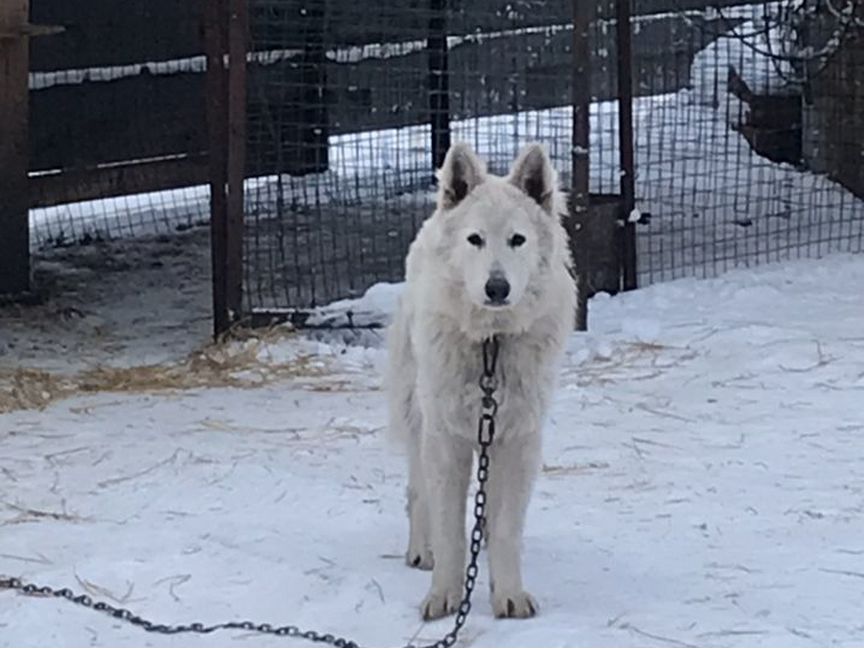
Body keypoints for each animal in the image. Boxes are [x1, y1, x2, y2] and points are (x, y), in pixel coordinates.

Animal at [384, 143, 572, 624]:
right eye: (475, 240)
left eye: (517, 240)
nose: (497, 287)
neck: (491, 343)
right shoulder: (445, 437)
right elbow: (449, 526)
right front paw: (444, 596)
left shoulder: (518, 438)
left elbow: (506, 526)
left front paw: (509, 595)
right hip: (417, 413)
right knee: (417, 490)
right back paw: (421, 549)